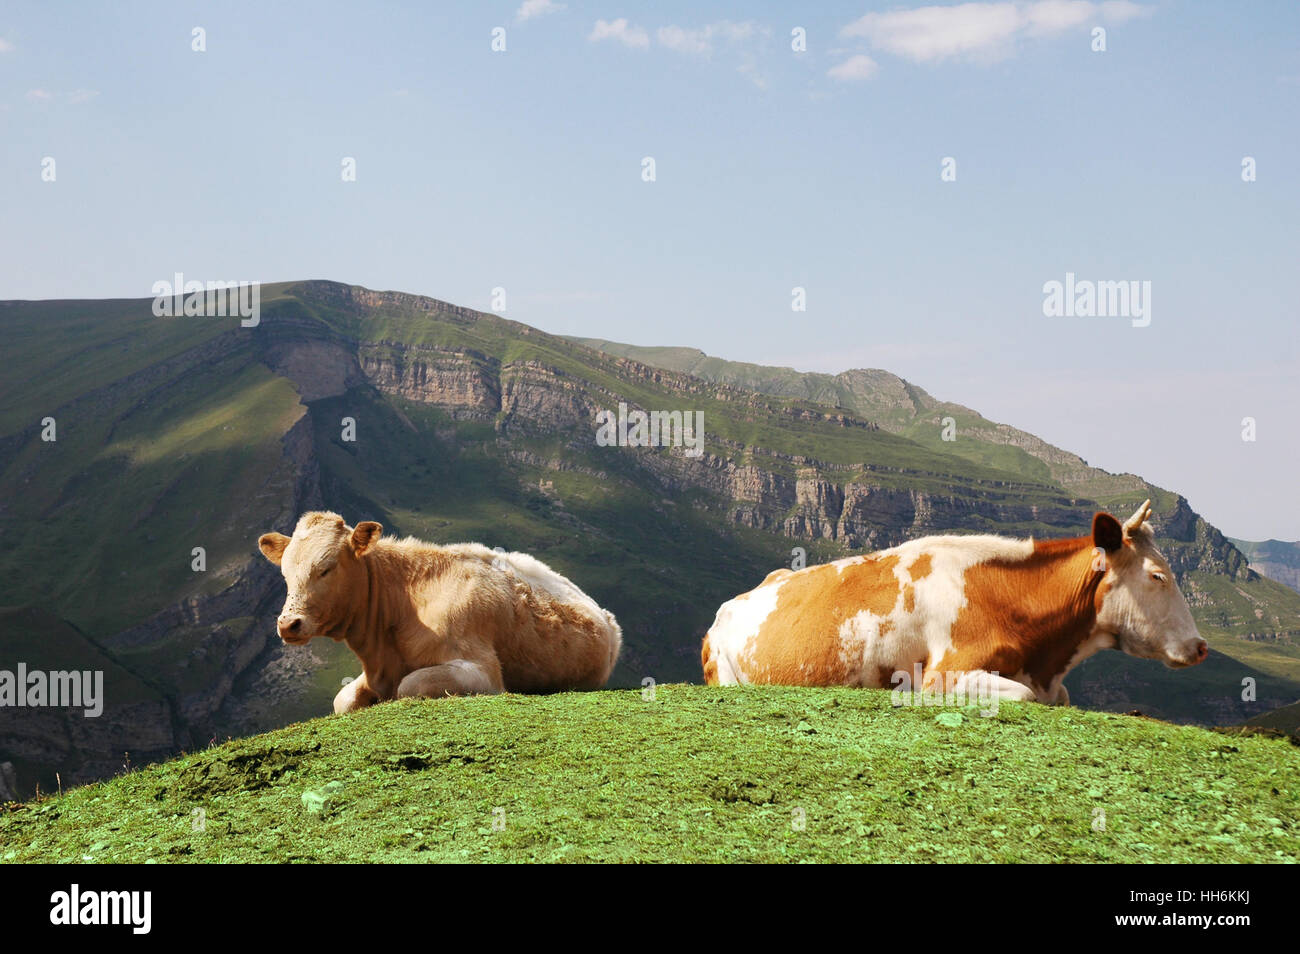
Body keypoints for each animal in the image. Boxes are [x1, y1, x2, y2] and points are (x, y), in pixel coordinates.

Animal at [257, 512, 622, 713]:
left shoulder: (483, 671)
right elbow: (342, 700)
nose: (288, 624)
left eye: (326, 568)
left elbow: (410, 686)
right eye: (285, 573)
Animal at [701, 501, 1208, 704]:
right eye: (1157, 575)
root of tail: (728, 606)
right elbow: (1025, 696)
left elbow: (1060, 698)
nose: (1201, 646)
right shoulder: (944, 675)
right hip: (723, 672)